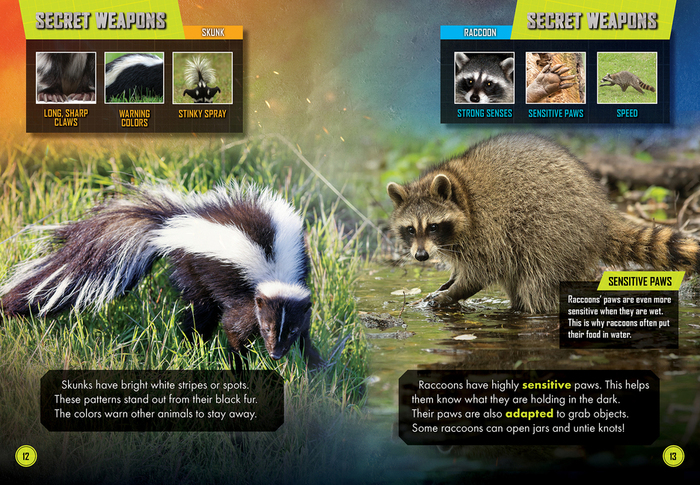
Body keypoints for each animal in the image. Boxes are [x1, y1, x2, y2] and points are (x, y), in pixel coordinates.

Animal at [386, 134, 699, 313]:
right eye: (411, 229)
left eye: (433, 226)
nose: (421, 256)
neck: (462, 192)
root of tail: (601, 213)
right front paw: (448, 282)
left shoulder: (487, 231)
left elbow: (481, 272)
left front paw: (453, 293)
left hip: (556, 237)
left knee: (538, 286)